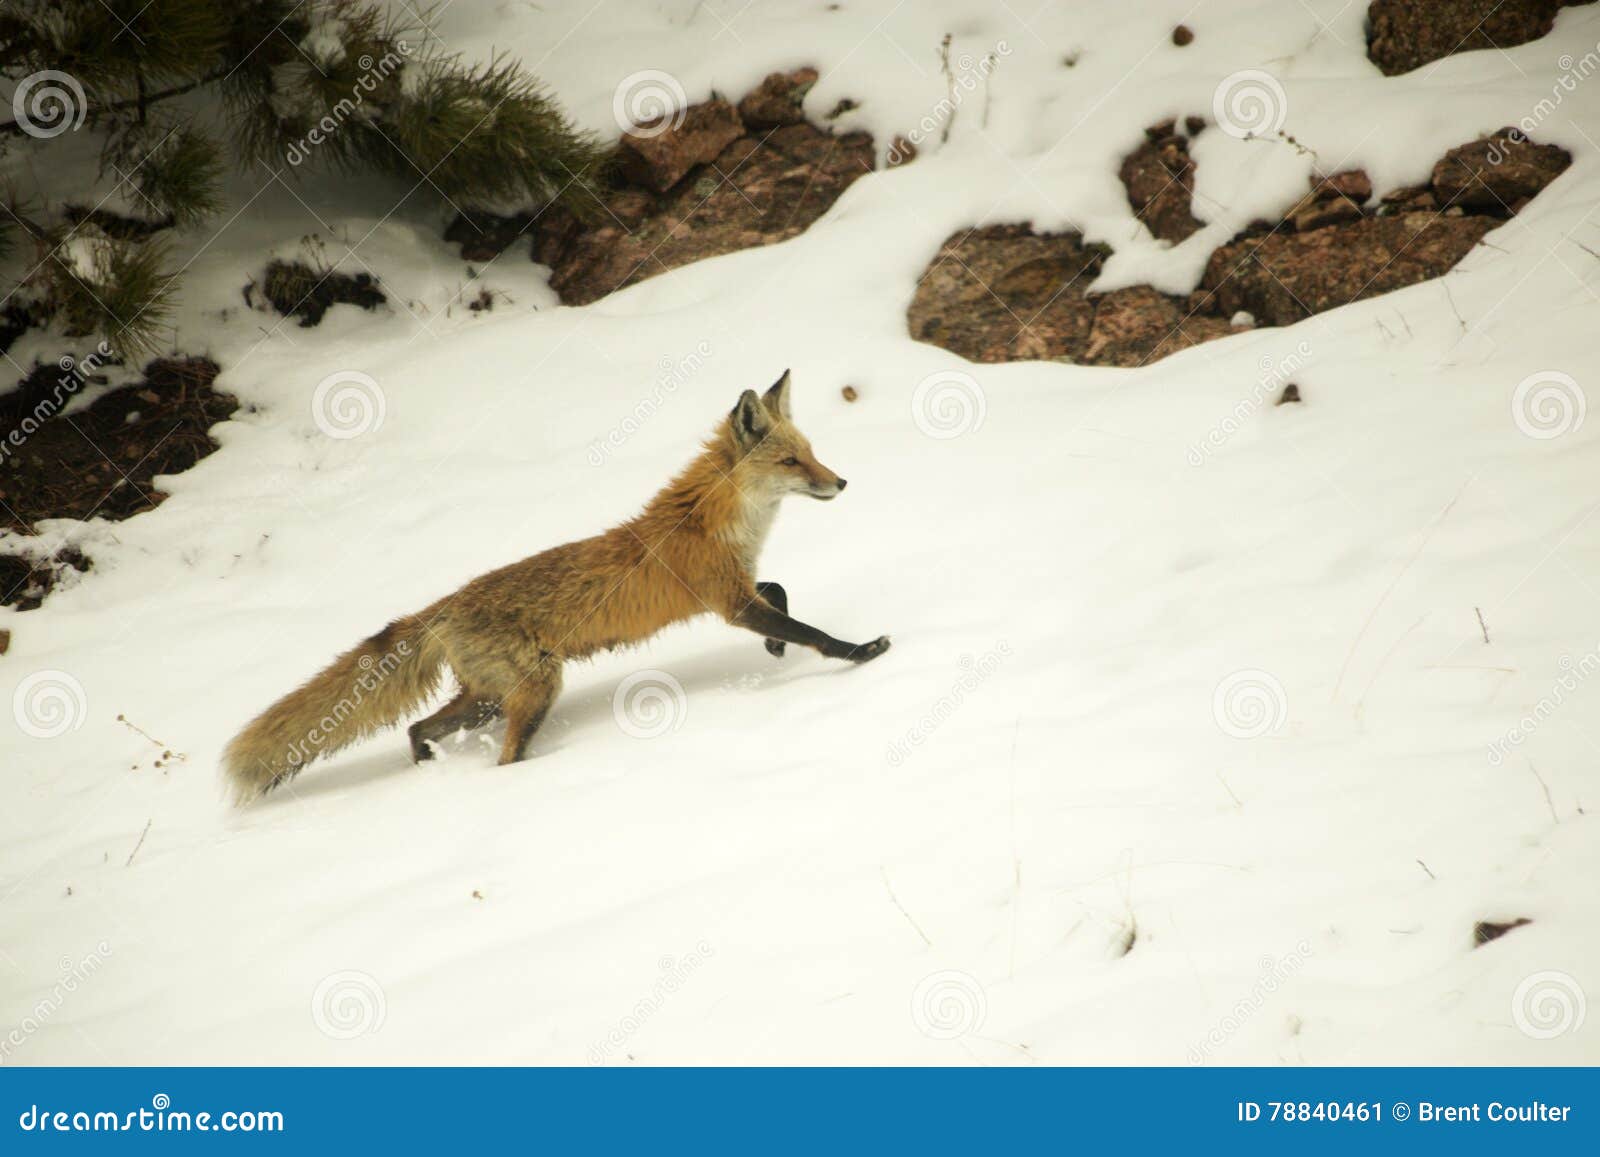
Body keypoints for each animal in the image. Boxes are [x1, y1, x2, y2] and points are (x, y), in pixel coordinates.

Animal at [221, 370, 891, 803]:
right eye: (791, 462)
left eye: (812, 452)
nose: (842, 482)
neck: (711, 519)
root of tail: (444, 606)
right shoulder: (728, 601)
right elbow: (812, 630)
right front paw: (860, 653)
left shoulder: (738, 592)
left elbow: (780, 594)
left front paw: (776, 650)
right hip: (536, 690)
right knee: (502, 758)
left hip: (489, 698)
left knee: (416, 728)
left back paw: (428, 768)